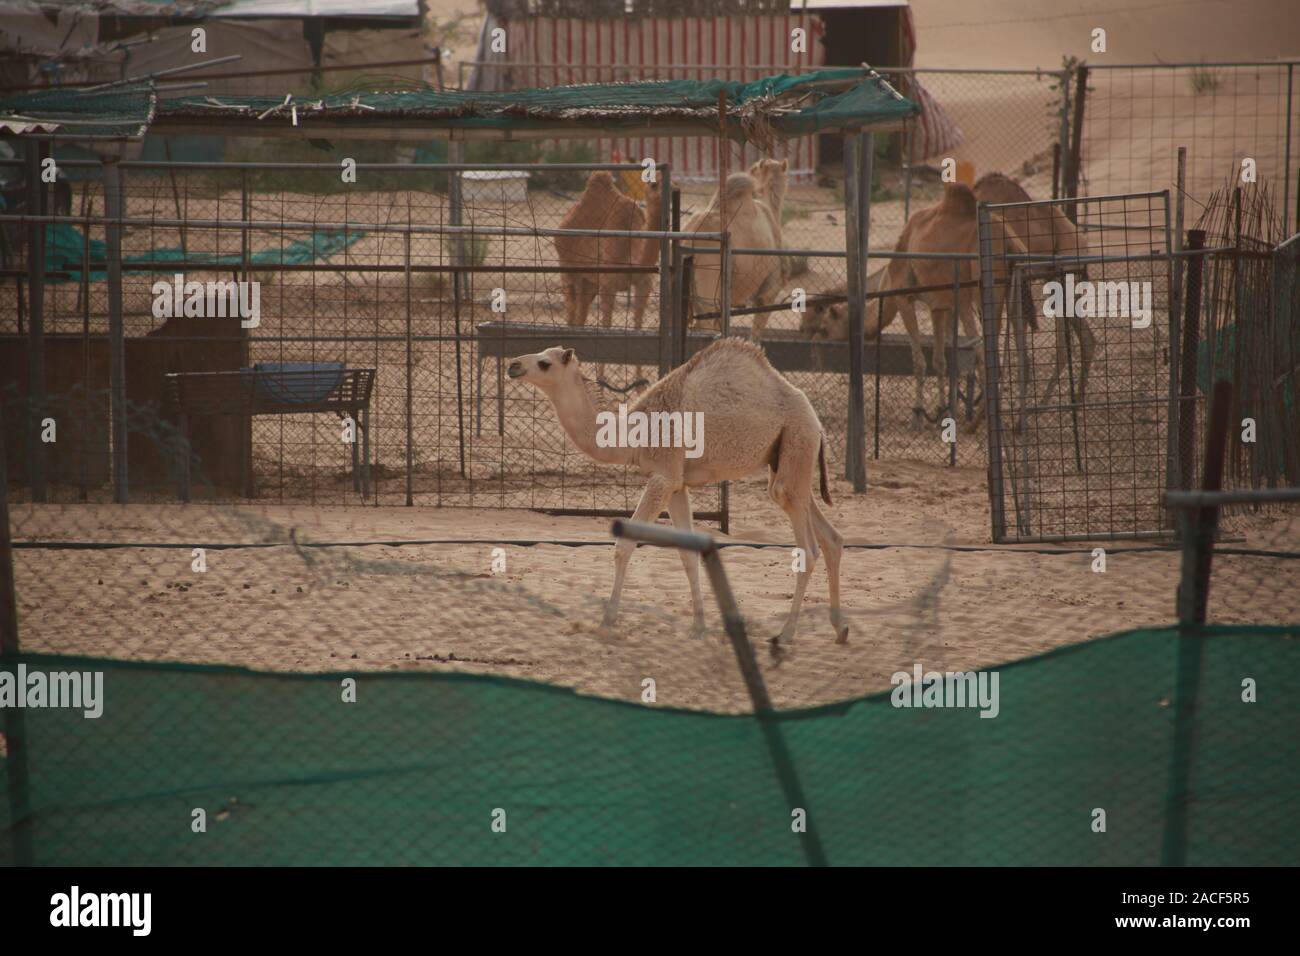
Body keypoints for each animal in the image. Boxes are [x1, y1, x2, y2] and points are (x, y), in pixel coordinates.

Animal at [506, 338, 847, 645]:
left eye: (544, 363)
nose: (513, 365)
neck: (635, 432)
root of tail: (817, 421)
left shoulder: (663, 477)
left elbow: (624, 545)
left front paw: (606, 623)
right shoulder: (677, 484)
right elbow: (688, 553)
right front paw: (698, 628)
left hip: (796, 441)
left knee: (807, 546)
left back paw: (786, 633)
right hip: (788, 459)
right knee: (830, 536)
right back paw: (839, 629)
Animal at [973, 172, 1097, 405]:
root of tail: (1080, 237)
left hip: (1062, 278)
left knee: (1066, 346)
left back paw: (1043, 403)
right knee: (1086, 339)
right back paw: (1075, 398)